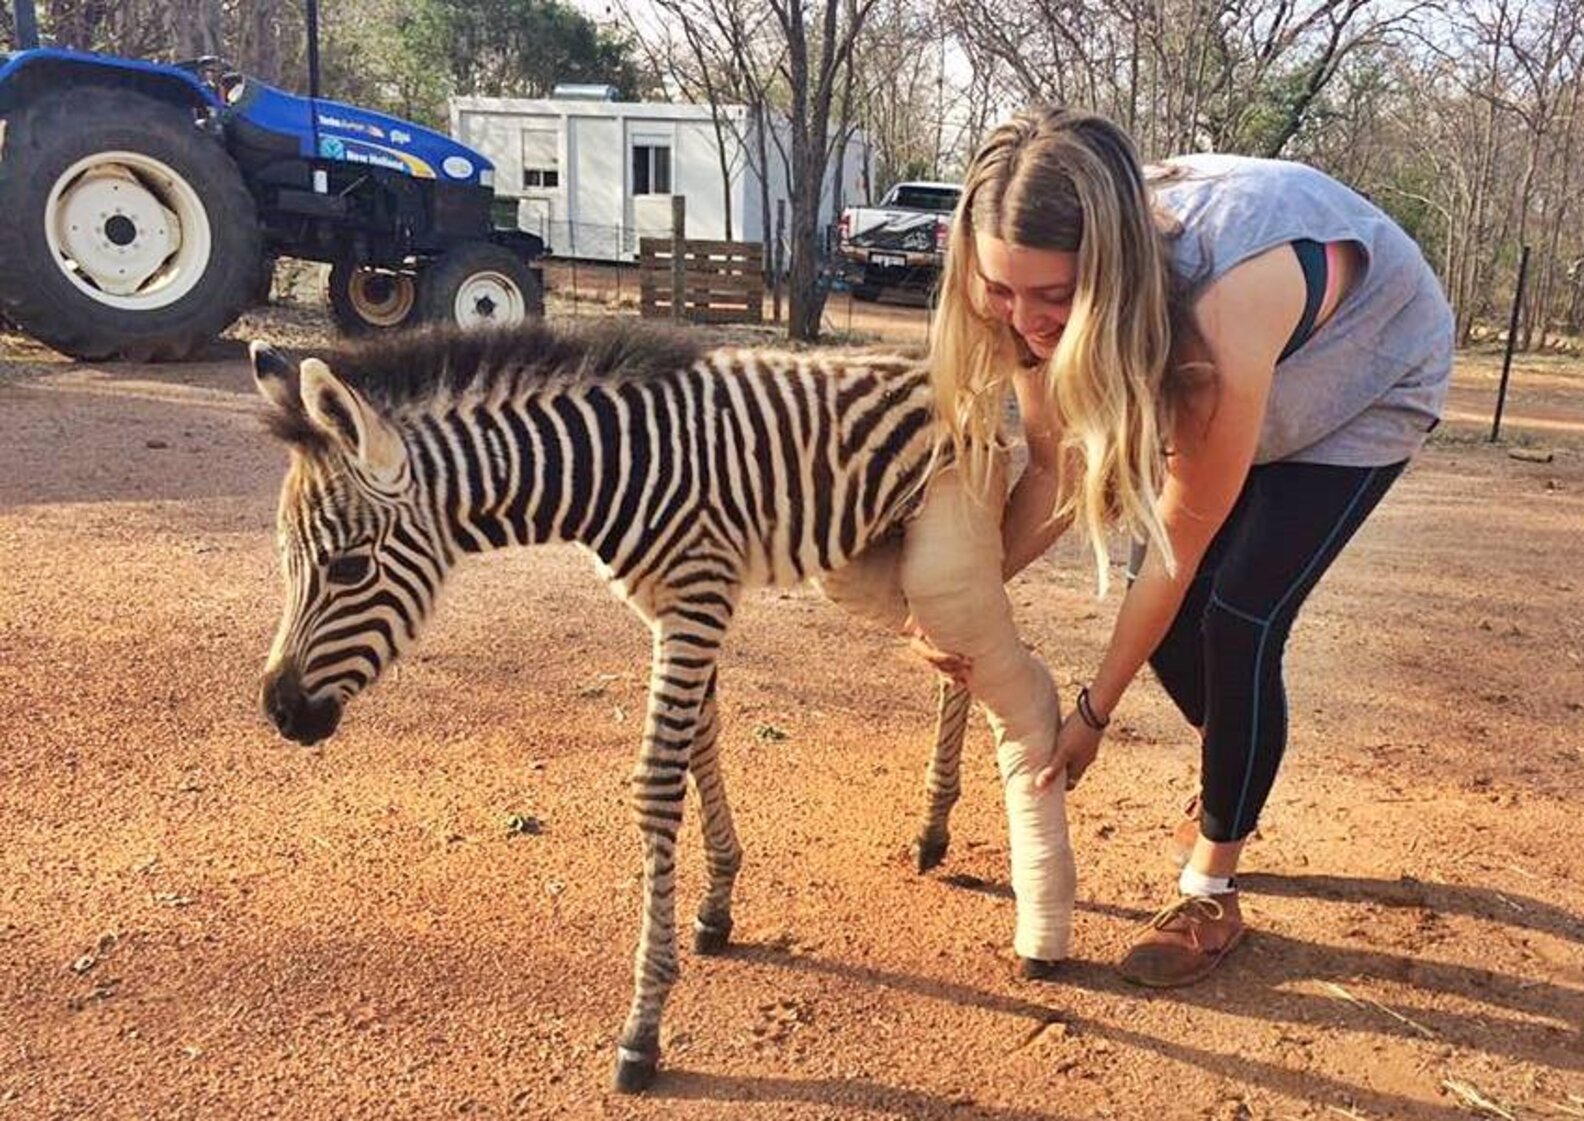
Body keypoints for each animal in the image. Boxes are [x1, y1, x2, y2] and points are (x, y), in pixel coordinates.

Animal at [250, 320, 986, 1092]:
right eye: (287, 561)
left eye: (348, 567)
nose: (280, 711)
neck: (610, 467)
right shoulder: (672, 607)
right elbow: (702, 743)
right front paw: (717, 903)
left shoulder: (696, 598)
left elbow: (657, 785)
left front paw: (644, 1026)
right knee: (956, 666)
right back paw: (934, 829)